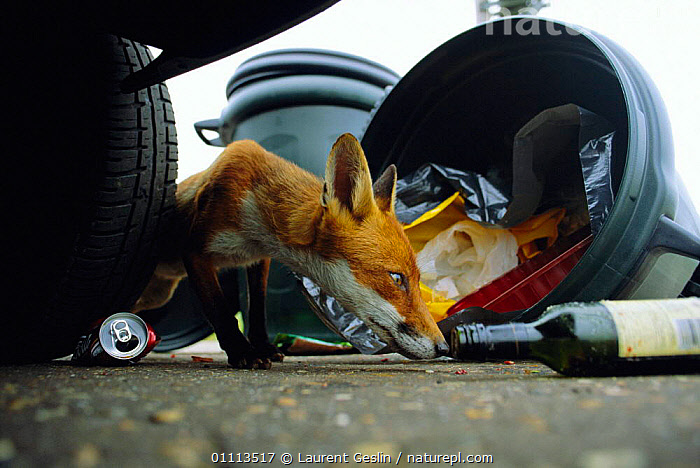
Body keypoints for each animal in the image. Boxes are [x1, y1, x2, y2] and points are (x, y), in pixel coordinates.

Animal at [134, 133, 448, 368]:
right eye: (397, 279)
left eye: (418, 280)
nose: (444, 347)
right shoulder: (196, 249)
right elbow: (219, 309)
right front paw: (242, 352)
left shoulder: (258, 259)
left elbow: (257, 309)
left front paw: (262, 346)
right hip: (158, 294)